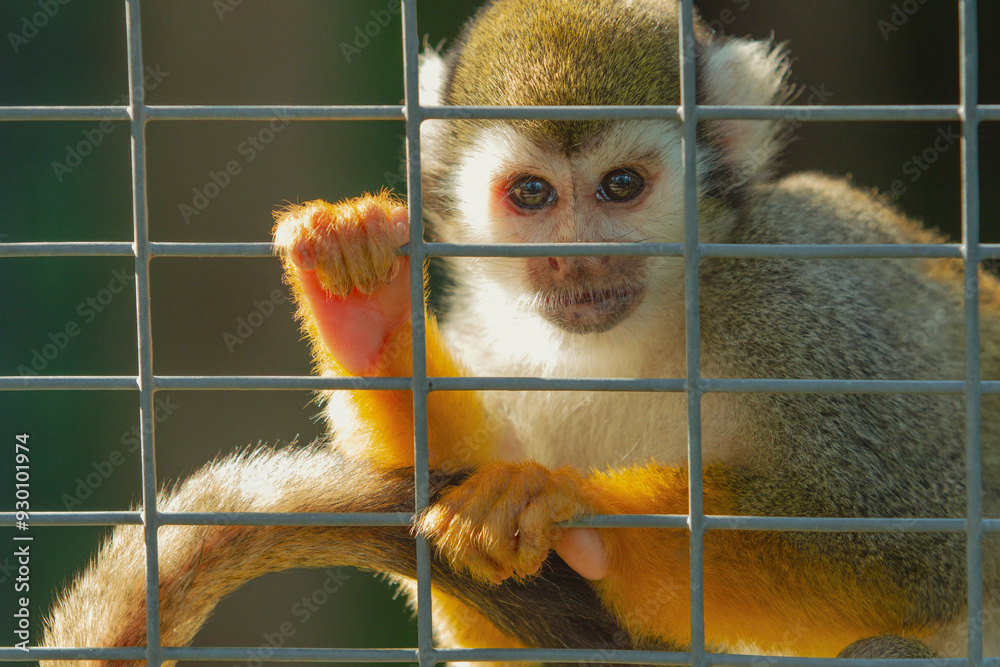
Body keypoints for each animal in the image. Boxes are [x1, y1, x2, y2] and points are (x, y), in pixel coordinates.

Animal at [41, 0, 1000, 663]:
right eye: (533, 194)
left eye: (622, 186)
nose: (576, 260)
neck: (643, 331)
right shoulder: (500, 341)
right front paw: (369, 311)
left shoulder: (797, 310)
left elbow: (921, 545)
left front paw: (563, 499)